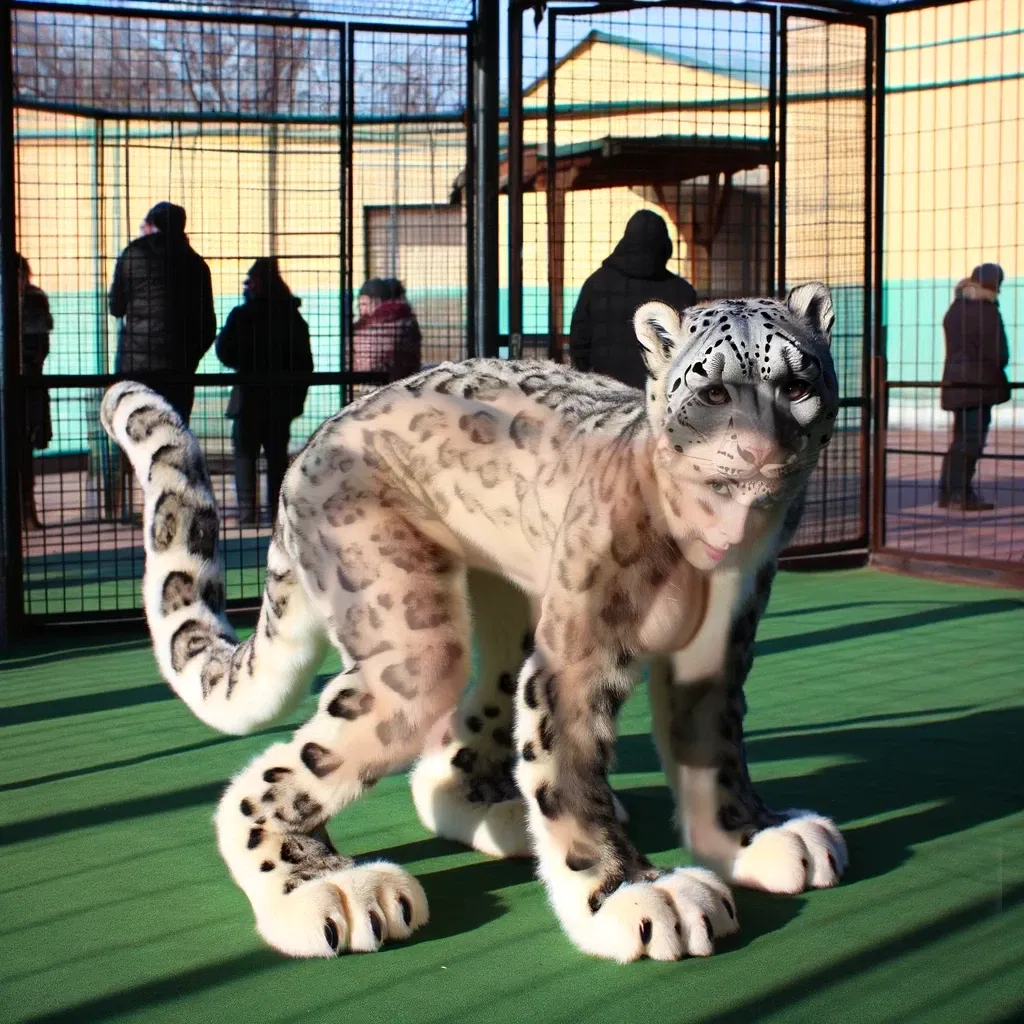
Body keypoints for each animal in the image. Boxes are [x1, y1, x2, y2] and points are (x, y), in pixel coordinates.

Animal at [100, 281, 847, 964]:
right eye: (714, 392)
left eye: (796, 382)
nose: (761, 451)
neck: (710, 544)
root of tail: (313, 443)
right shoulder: (577, 657)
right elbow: (571, 771)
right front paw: (636, 893)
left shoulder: (720, 647)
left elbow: (714, 747)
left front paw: (751, 836)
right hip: (408, 627)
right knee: (278, 777)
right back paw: (326, 888)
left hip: (513, 617)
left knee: (457, 741)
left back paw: (495, 810)